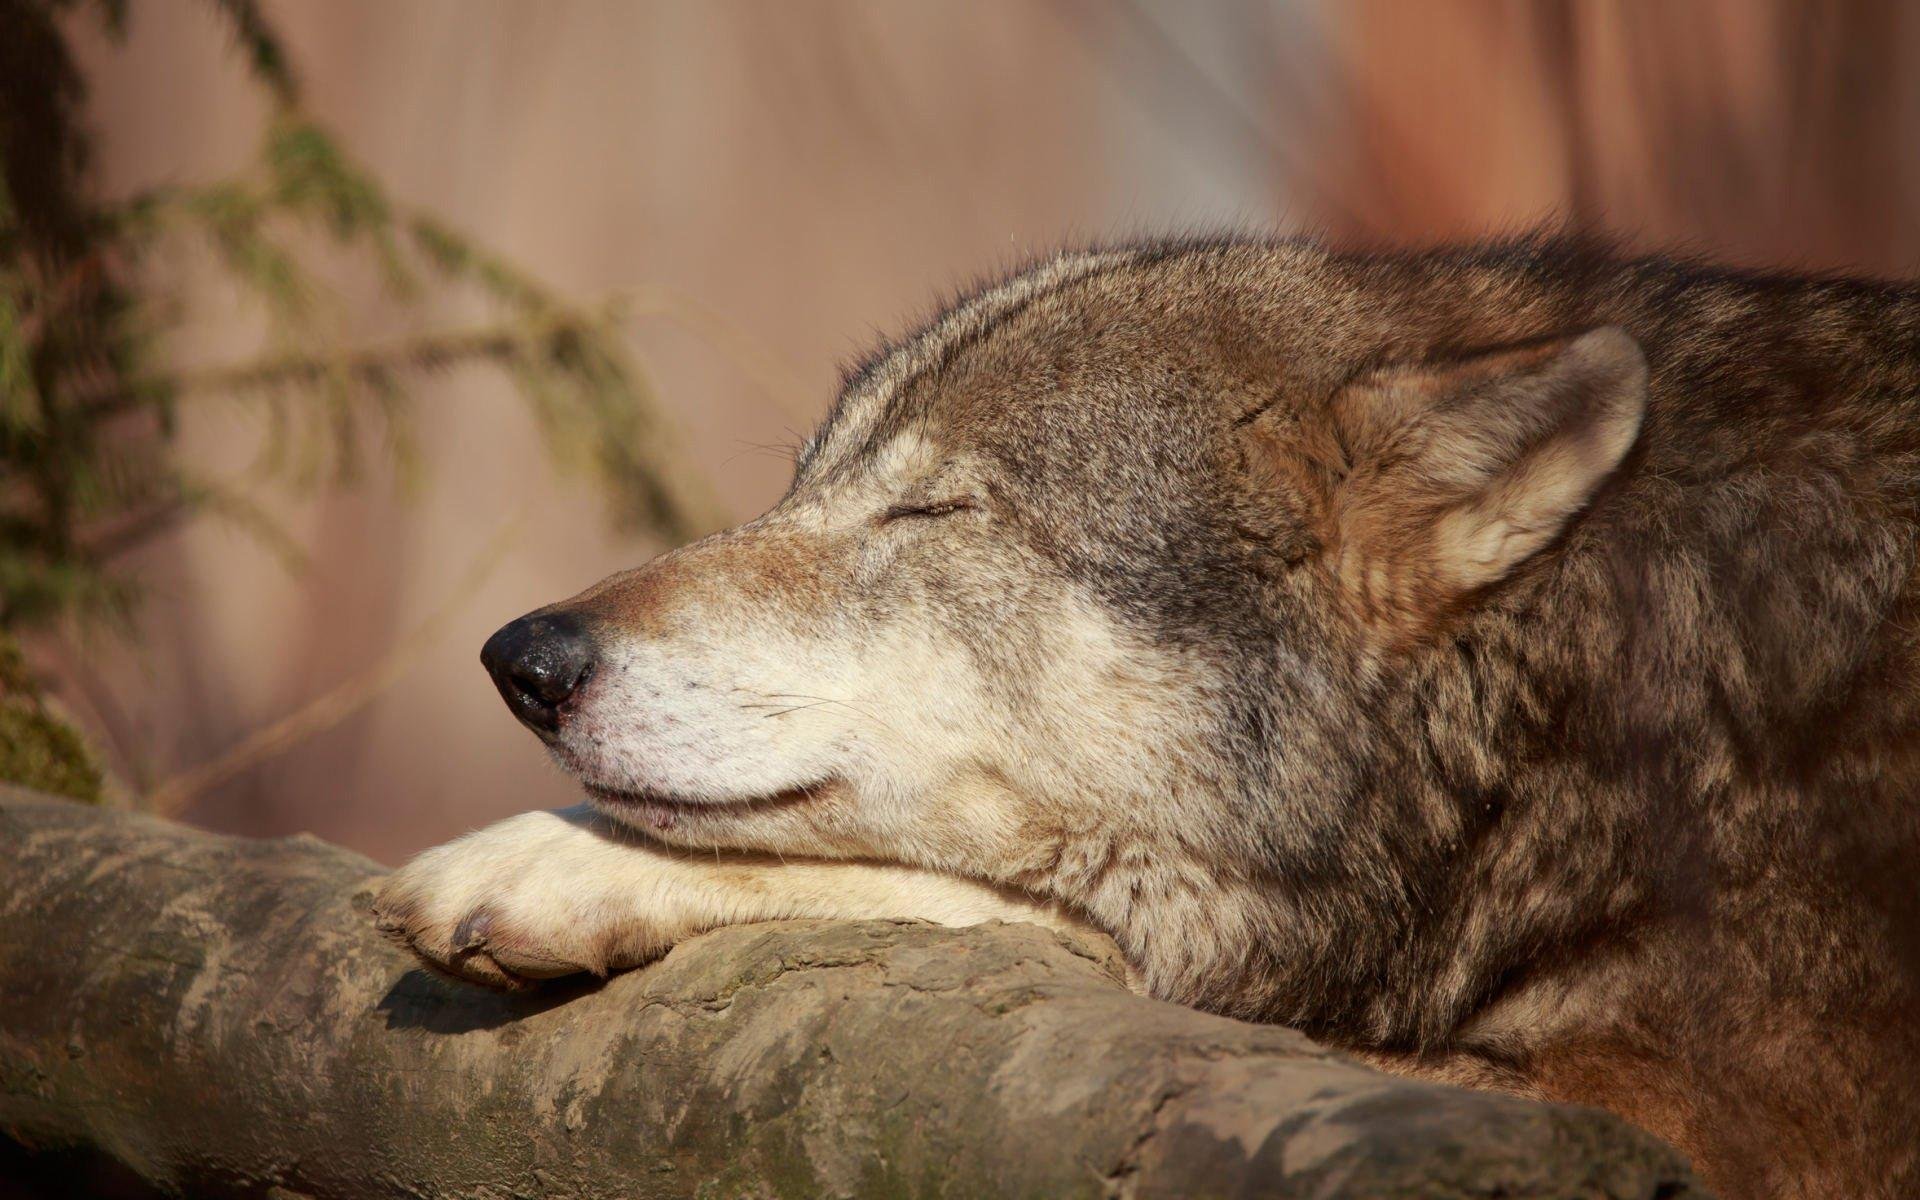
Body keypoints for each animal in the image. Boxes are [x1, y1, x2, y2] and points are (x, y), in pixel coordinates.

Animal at [370, 236, 1920, 1198]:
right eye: (805, 488)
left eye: (933, 510)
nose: (523, 657)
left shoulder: (1696, 1130)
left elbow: (1020, 905)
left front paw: (552, 860)